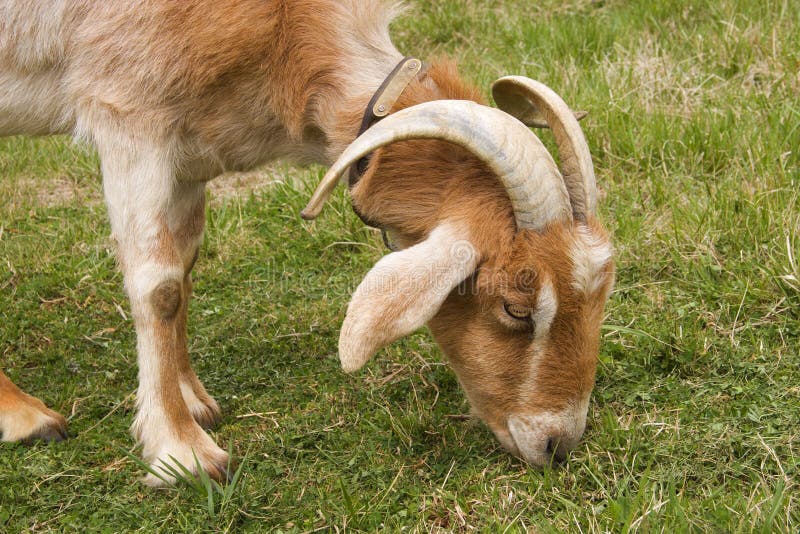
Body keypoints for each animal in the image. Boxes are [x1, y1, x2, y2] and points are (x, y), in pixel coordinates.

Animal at [0, 0, 614, 485]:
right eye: (515, 308)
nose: (558, 445)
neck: (283, 29)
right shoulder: (128, 114)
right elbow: (160, 287)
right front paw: (181, 451)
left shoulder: (189, 150)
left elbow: (186, 261)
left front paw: (191, 399)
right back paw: (28, 418)